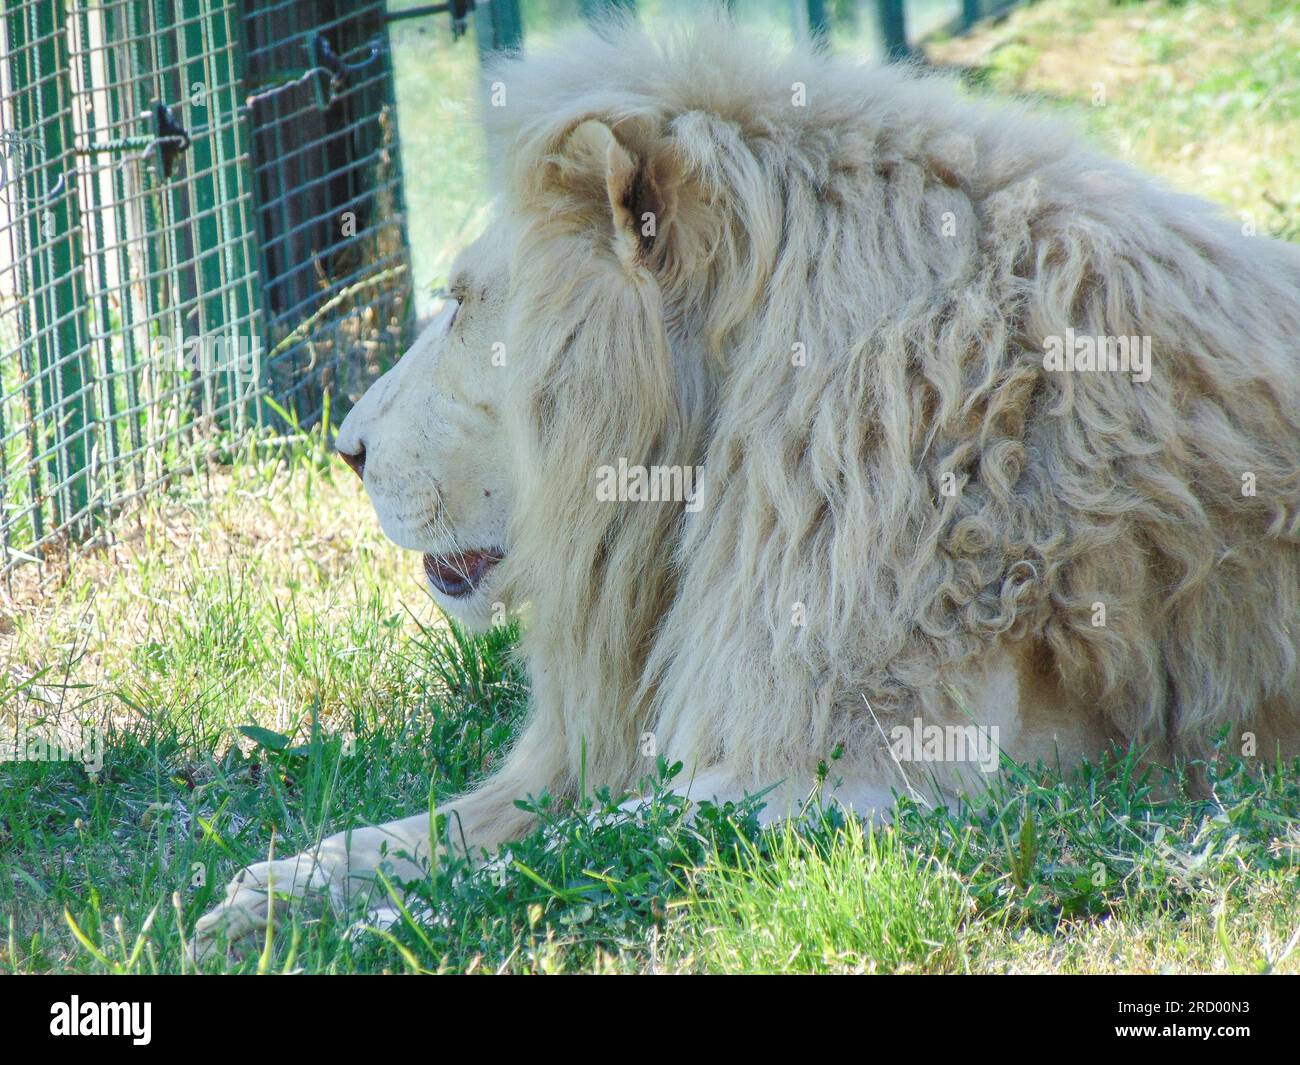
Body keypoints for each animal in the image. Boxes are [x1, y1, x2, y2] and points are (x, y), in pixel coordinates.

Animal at [195, 15, 1300, 952]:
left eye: (464, 303)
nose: (347, 449)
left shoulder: (856, 781)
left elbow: (562, 861)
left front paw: (365, 929)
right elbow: (449, 831)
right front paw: (269, 892)